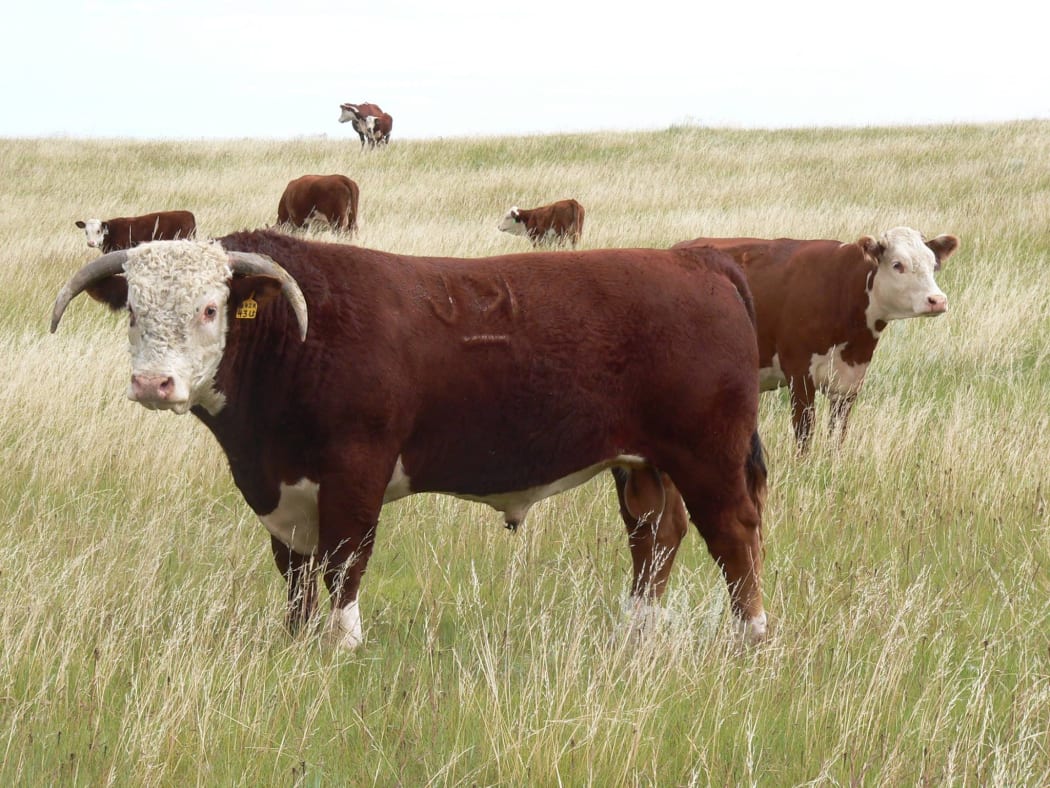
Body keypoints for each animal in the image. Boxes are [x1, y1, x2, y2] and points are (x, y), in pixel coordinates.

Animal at [50, 230, 769, 649]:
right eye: (134, 310)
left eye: (208, 308)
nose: (153, 382)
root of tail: (695, 259)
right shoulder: (279, 490)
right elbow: (296, 573)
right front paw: (293, 642)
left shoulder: (355, 471)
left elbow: (345, 561)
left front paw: (342, 647)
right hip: (643, 461)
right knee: (655, 534)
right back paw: (637, 633)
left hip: (708, 453)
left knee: (732, 532)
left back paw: (751, 637)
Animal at [673, 226, 959, 451]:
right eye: (898, 265)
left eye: (933, 264)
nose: (937, 300)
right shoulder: (799, 373)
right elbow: (804, 432)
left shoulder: (850, 381)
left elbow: (837, 435)